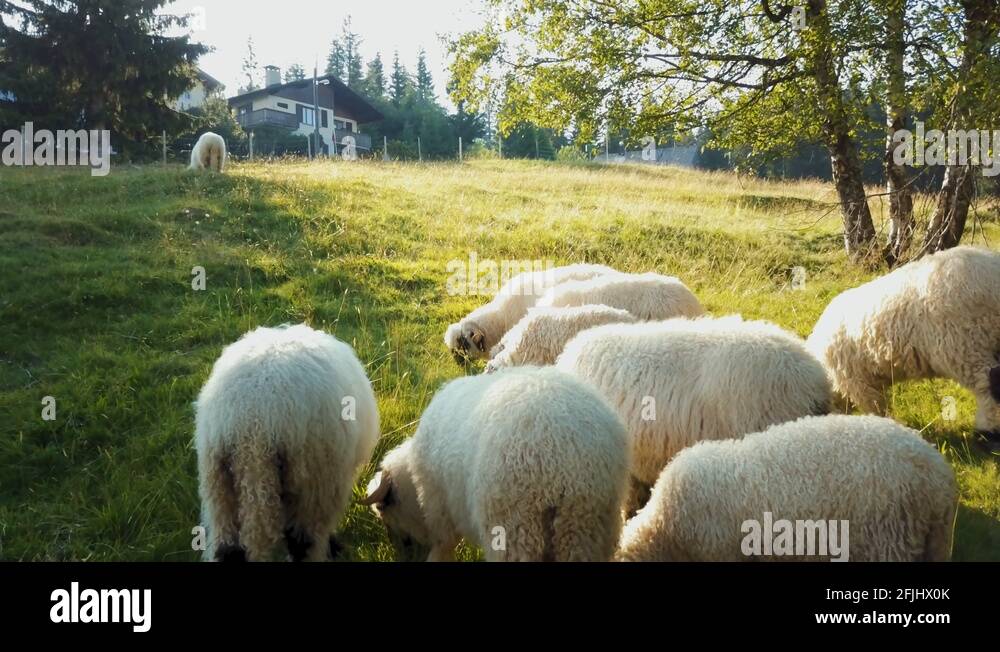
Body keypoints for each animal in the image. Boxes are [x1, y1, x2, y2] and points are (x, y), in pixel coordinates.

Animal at [362, 366, 630, 561]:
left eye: (385, 508)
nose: (400, 552)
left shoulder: (439, 506)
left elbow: (444, 544)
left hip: (515, 527)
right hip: (586, 525)